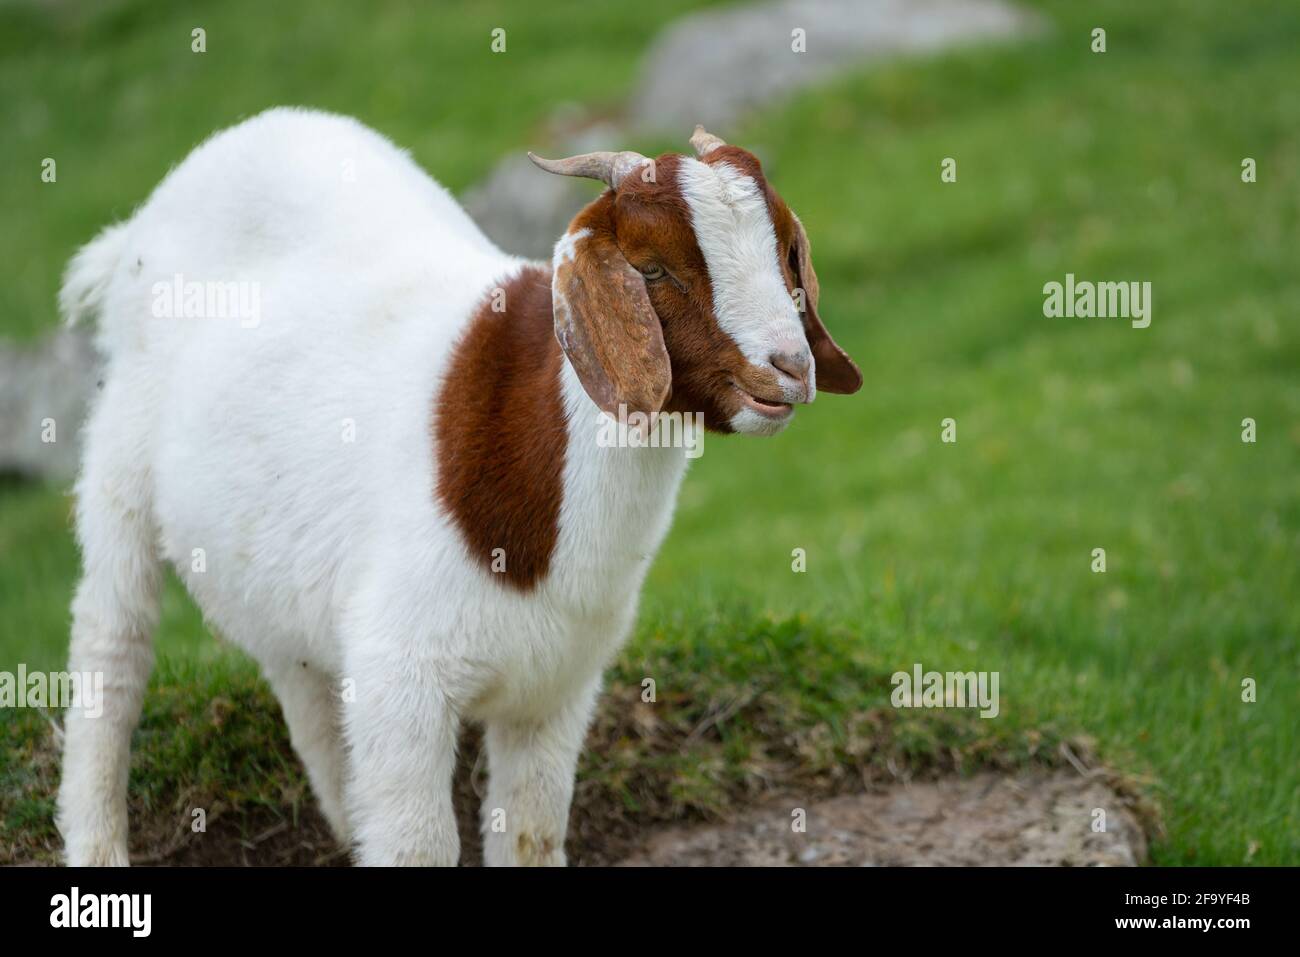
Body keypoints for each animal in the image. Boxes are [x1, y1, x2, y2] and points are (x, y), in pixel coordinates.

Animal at [56, 108, 861, 866]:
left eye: (785, 249)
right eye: (654, 268)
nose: (791, 368)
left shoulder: (556, 687)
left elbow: (531, 835)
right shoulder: (402, 678)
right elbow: (419, 844)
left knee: (300, 682)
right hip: (120, 468)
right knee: (112, 648)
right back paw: (97, 839)